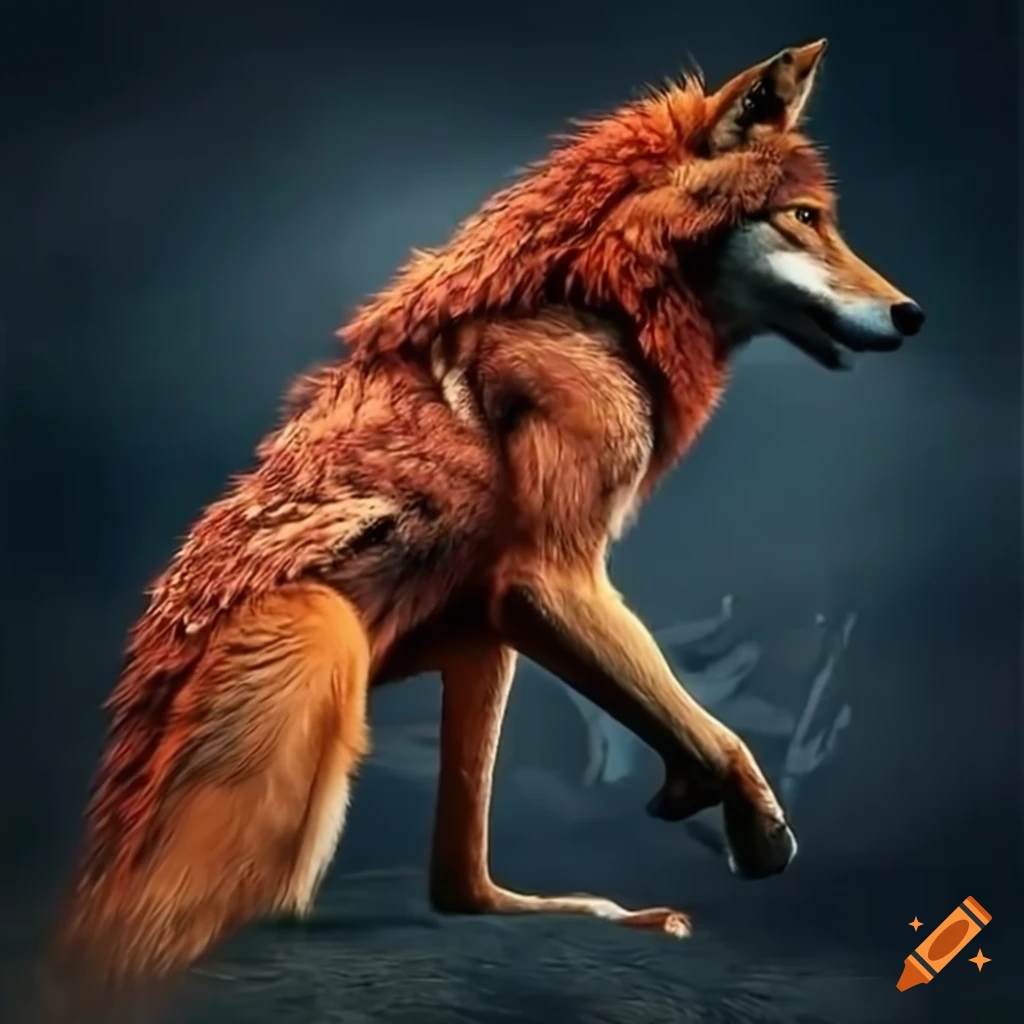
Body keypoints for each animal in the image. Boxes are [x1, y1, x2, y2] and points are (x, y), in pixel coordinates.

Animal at [56, 38, 924, 983]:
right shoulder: (547, 577)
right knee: (201, 918)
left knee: (457, 884)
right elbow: (714, 730)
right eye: (804, 217)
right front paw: (753, 825)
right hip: (324, 630)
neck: (601, 307)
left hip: (472, 643)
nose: (912, 314)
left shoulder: (511, 603)